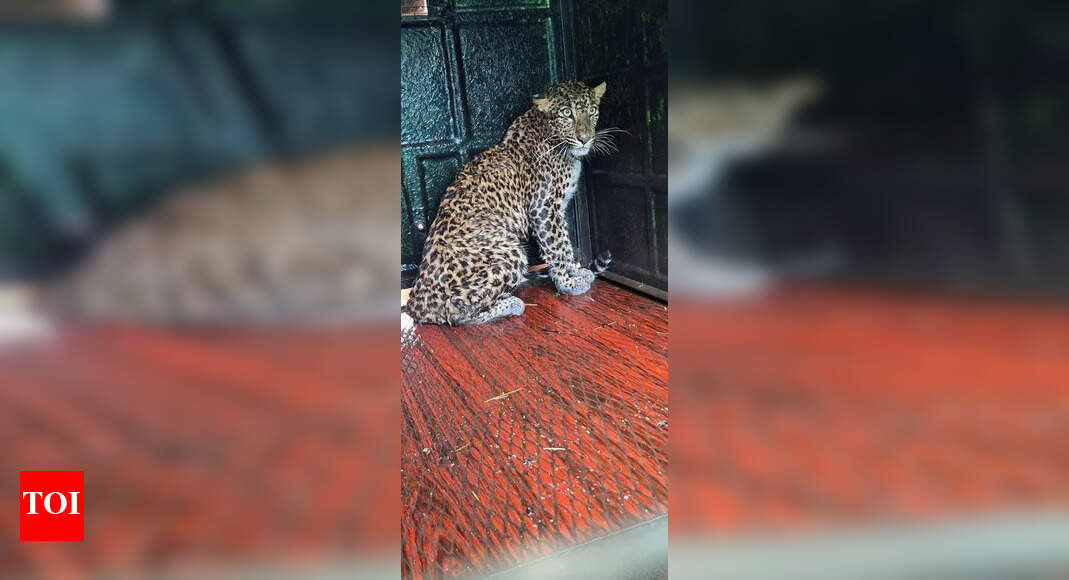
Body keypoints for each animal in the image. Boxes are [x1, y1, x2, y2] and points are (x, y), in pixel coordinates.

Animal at [405, 80, 617, 326]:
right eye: (566, 113)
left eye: (592, 111)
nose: (585, 138)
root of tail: (416, 303)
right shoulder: (543, 207)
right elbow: (556, 248)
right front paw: (567, 283)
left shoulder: (559, 208)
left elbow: (565, 241)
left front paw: (576, 270)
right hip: (509, 251)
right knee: (456, 312)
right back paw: (511, 304)